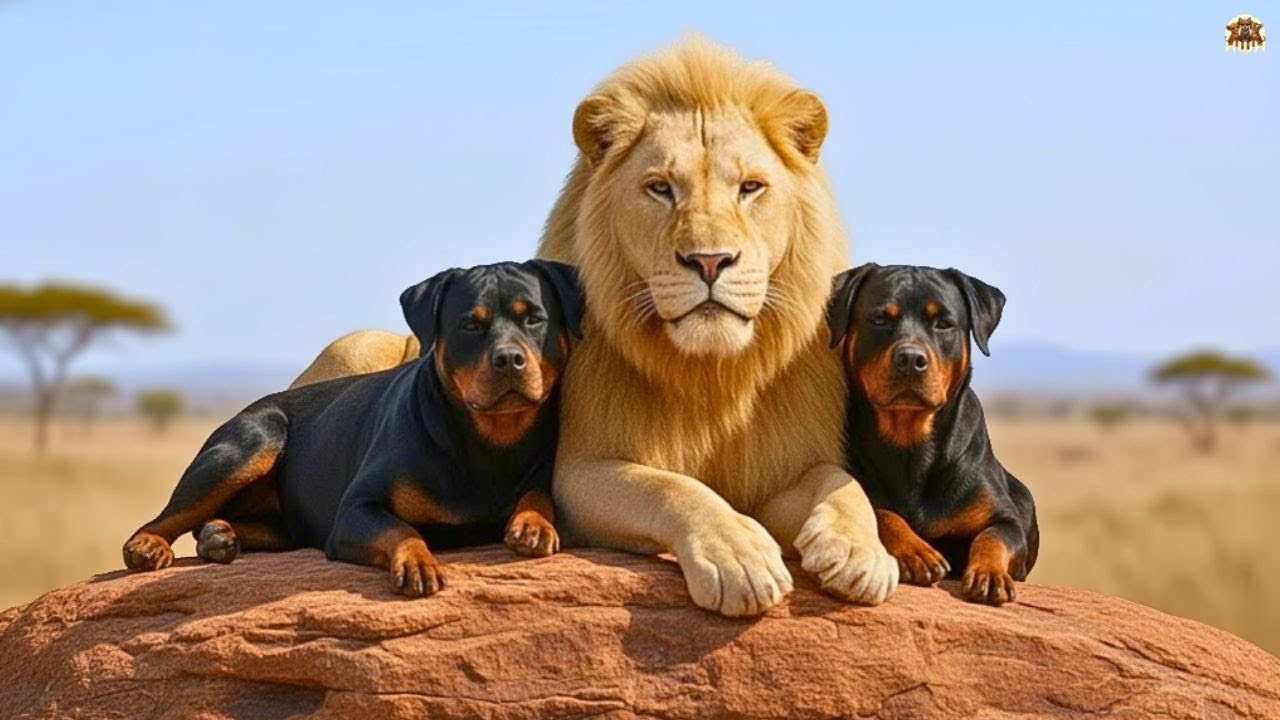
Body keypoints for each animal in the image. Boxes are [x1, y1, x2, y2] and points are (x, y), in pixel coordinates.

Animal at [289, 37, 898, 616]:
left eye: (750, 187)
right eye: (660, 188)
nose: (709, 261)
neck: (711, 373)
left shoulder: (782, 469)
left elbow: (840, 481)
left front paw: (857, 553)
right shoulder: (576, 475)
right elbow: (671, 488)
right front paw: (739, 558)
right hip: (355, 347)